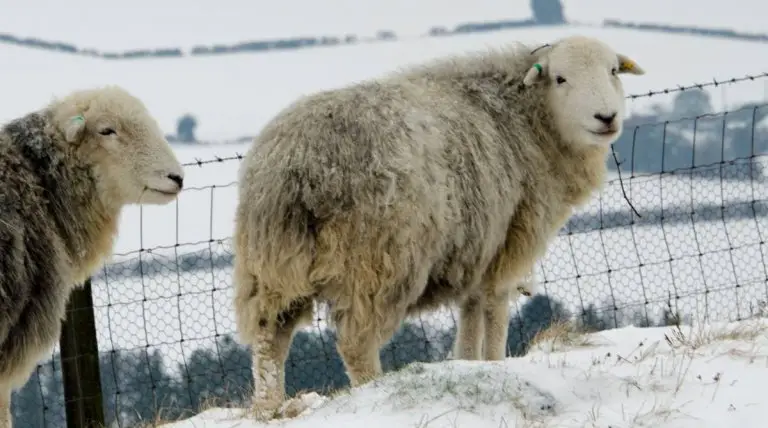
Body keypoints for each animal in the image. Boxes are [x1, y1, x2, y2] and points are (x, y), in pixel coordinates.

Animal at [233, 34, 645, 418]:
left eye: (613, 71)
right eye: (560, 78)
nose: (606, 117)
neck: (528, 120)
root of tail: (299, 164)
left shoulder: (478, 248)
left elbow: (470, 313)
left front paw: (468, 362)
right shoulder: (509, 241)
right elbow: (494, 311)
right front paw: (494, 362)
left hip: (273, 263)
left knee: (269, 338)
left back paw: (268, 407)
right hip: (374, 262)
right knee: (355, 343)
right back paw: (373, 393)